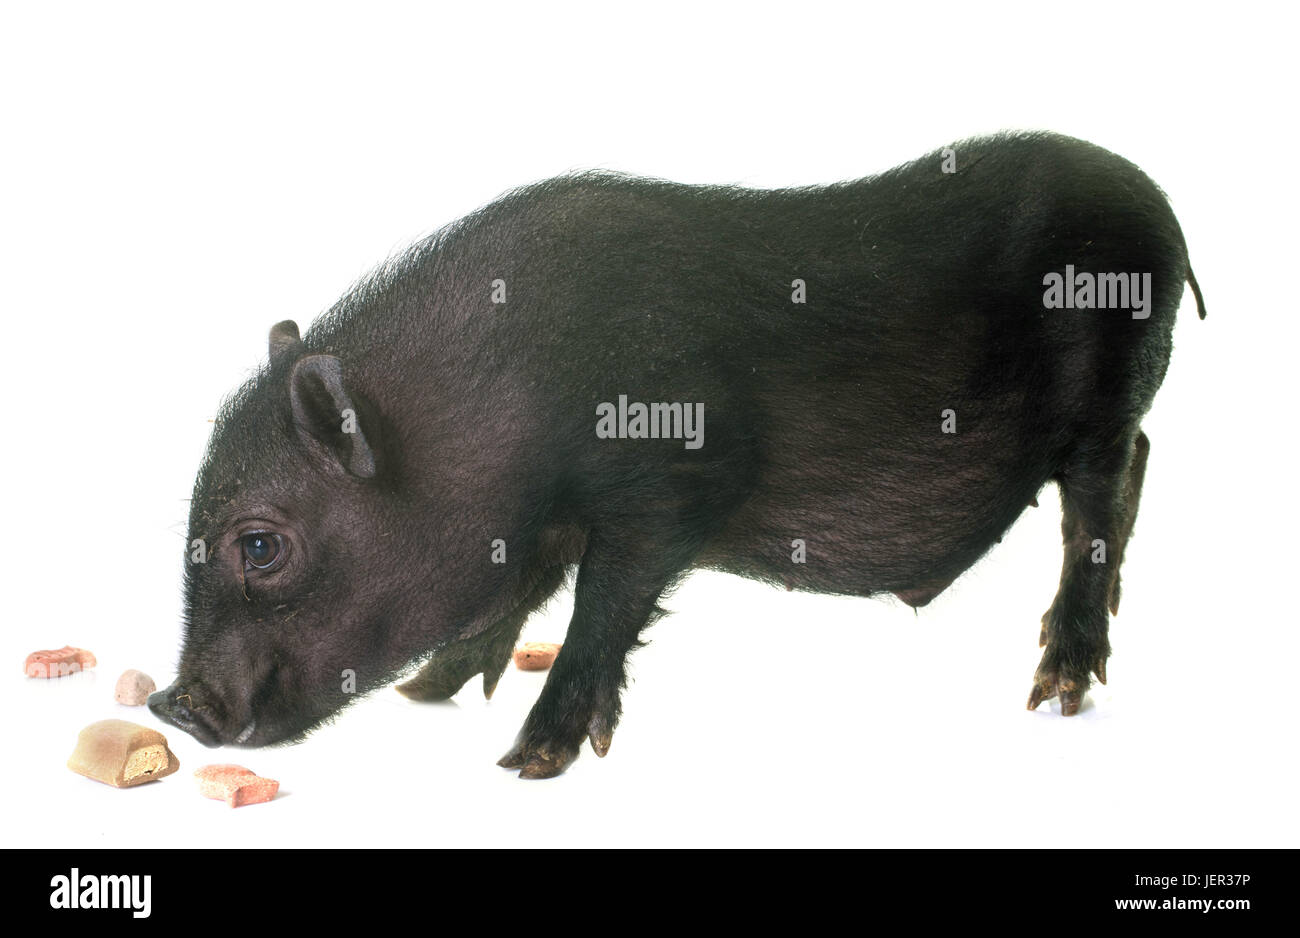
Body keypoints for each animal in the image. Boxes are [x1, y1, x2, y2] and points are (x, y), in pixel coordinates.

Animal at [149, 131, 1206, 778]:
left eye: (259, 545)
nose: (171, 705)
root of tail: (1163, 209)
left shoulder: (670, 486)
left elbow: (604, 603)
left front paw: (528, 762)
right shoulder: (546, 525)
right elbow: (521, 590)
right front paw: (430, 692)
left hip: (1107, 391)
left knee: (1100, 498)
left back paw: (1056, 693)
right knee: (1139, 468)